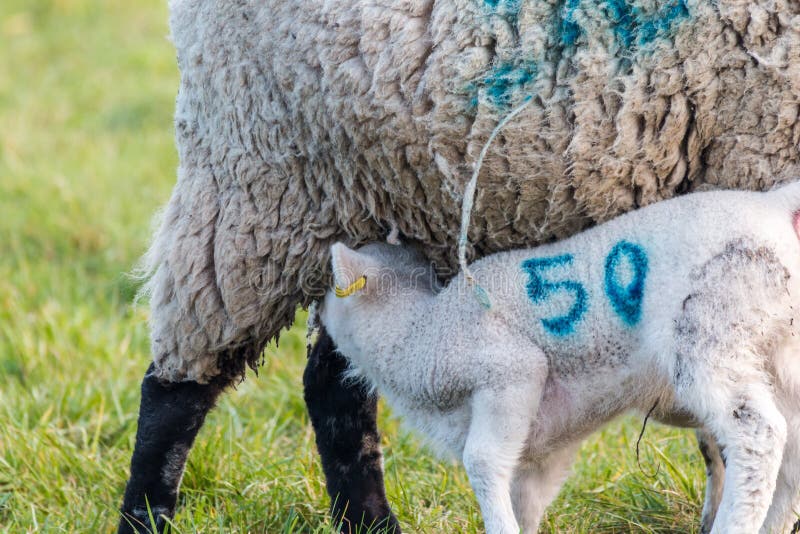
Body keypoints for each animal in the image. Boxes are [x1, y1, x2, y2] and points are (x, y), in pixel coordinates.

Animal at [320, 183, 800, 534]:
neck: (420, 331)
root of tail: (773, 206)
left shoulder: (510, 371)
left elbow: (482, 461)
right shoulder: (545, 448)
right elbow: (527, 497)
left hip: (711, 328)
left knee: (758, 434)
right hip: (780, 348)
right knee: (791, 447)